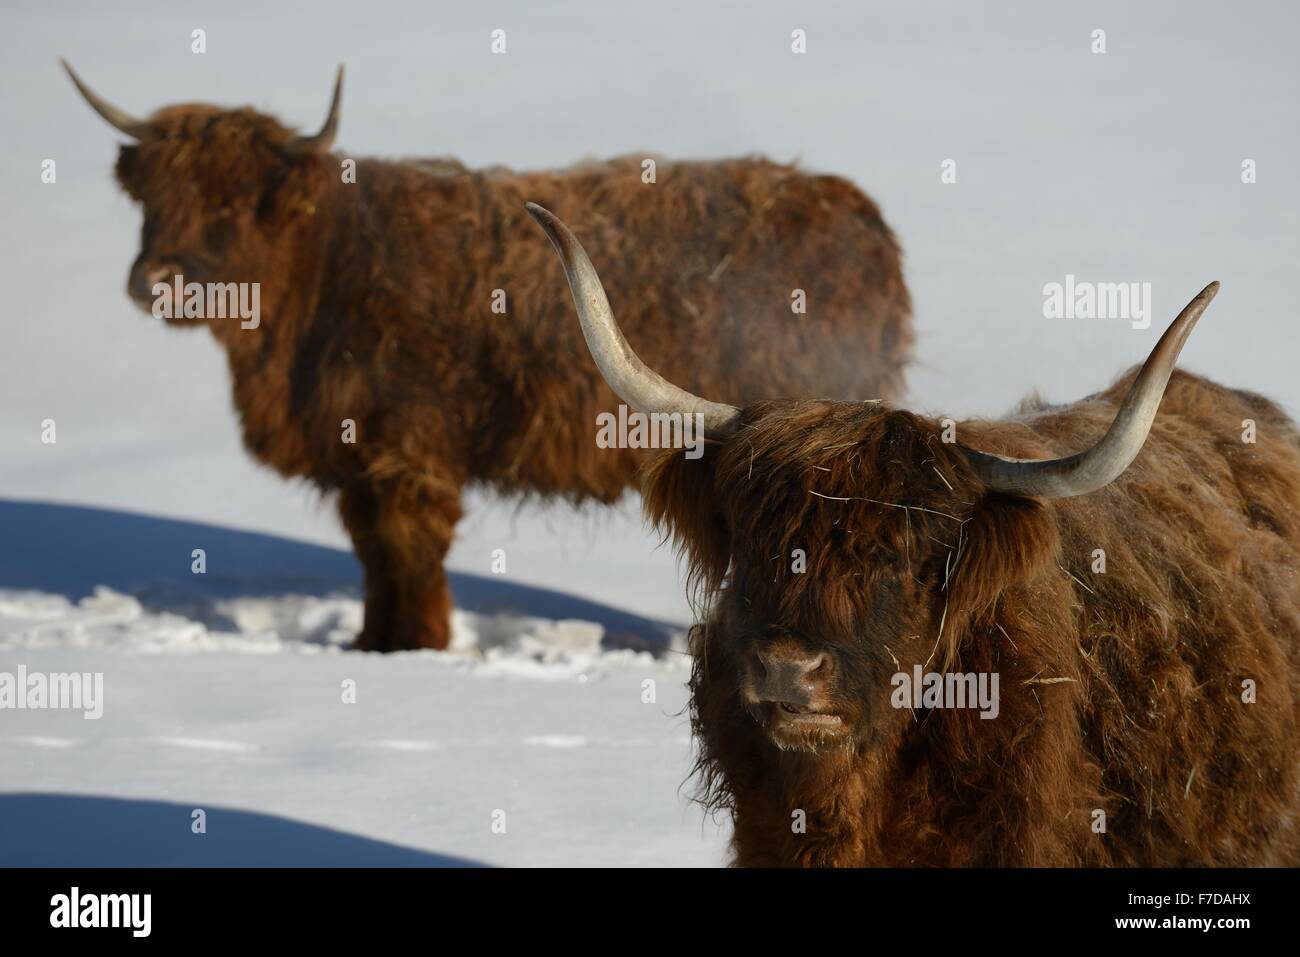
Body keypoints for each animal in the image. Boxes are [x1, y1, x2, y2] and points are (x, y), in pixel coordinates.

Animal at [63, 62, 913, 652]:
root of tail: (857, 215)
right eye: (153, 198)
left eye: (235, 200)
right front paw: (372, 644)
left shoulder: (407, 454)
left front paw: (414, 648)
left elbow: (409, 554)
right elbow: (375, 557)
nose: (157, 281)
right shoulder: (360, 462)